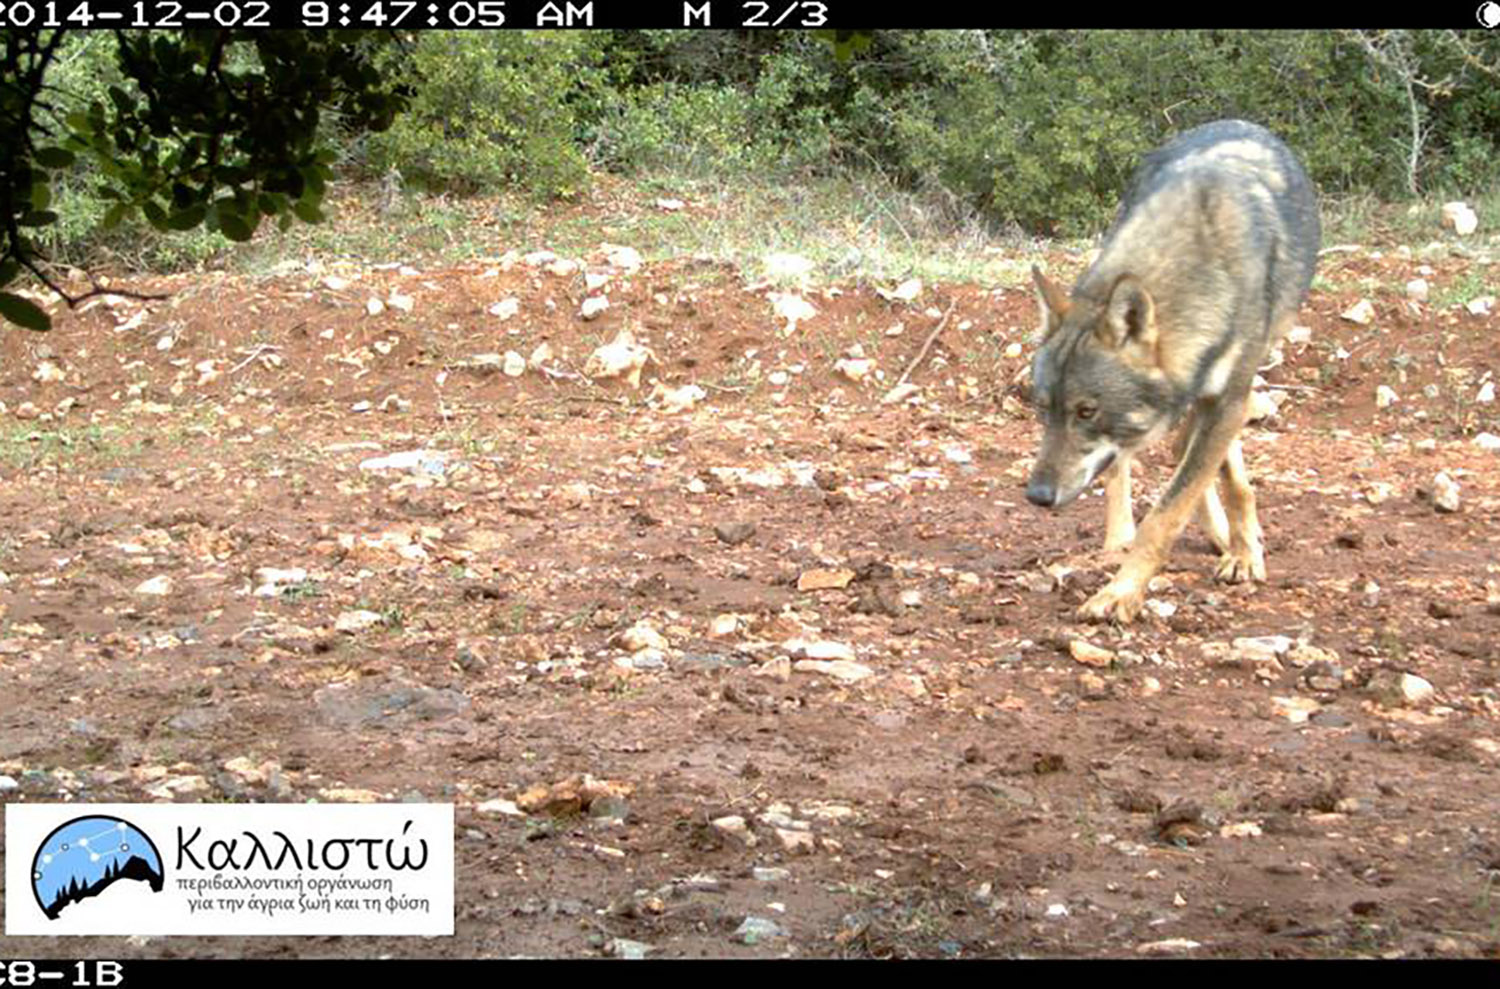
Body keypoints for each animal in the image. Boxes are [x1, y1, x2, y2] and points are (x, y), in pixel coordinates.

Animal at [1025, 119, 1320, 623]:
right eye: (1045, 409)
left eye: (1086, 411)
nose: (1038, 496)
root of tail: (1234, 120)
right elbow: (1175, 485)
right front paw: (1124, 574)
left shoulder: (1230, 398)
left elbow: (1174, 507)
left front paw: (1124, 592)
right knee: (1131, 466)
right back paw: (1126, 537)